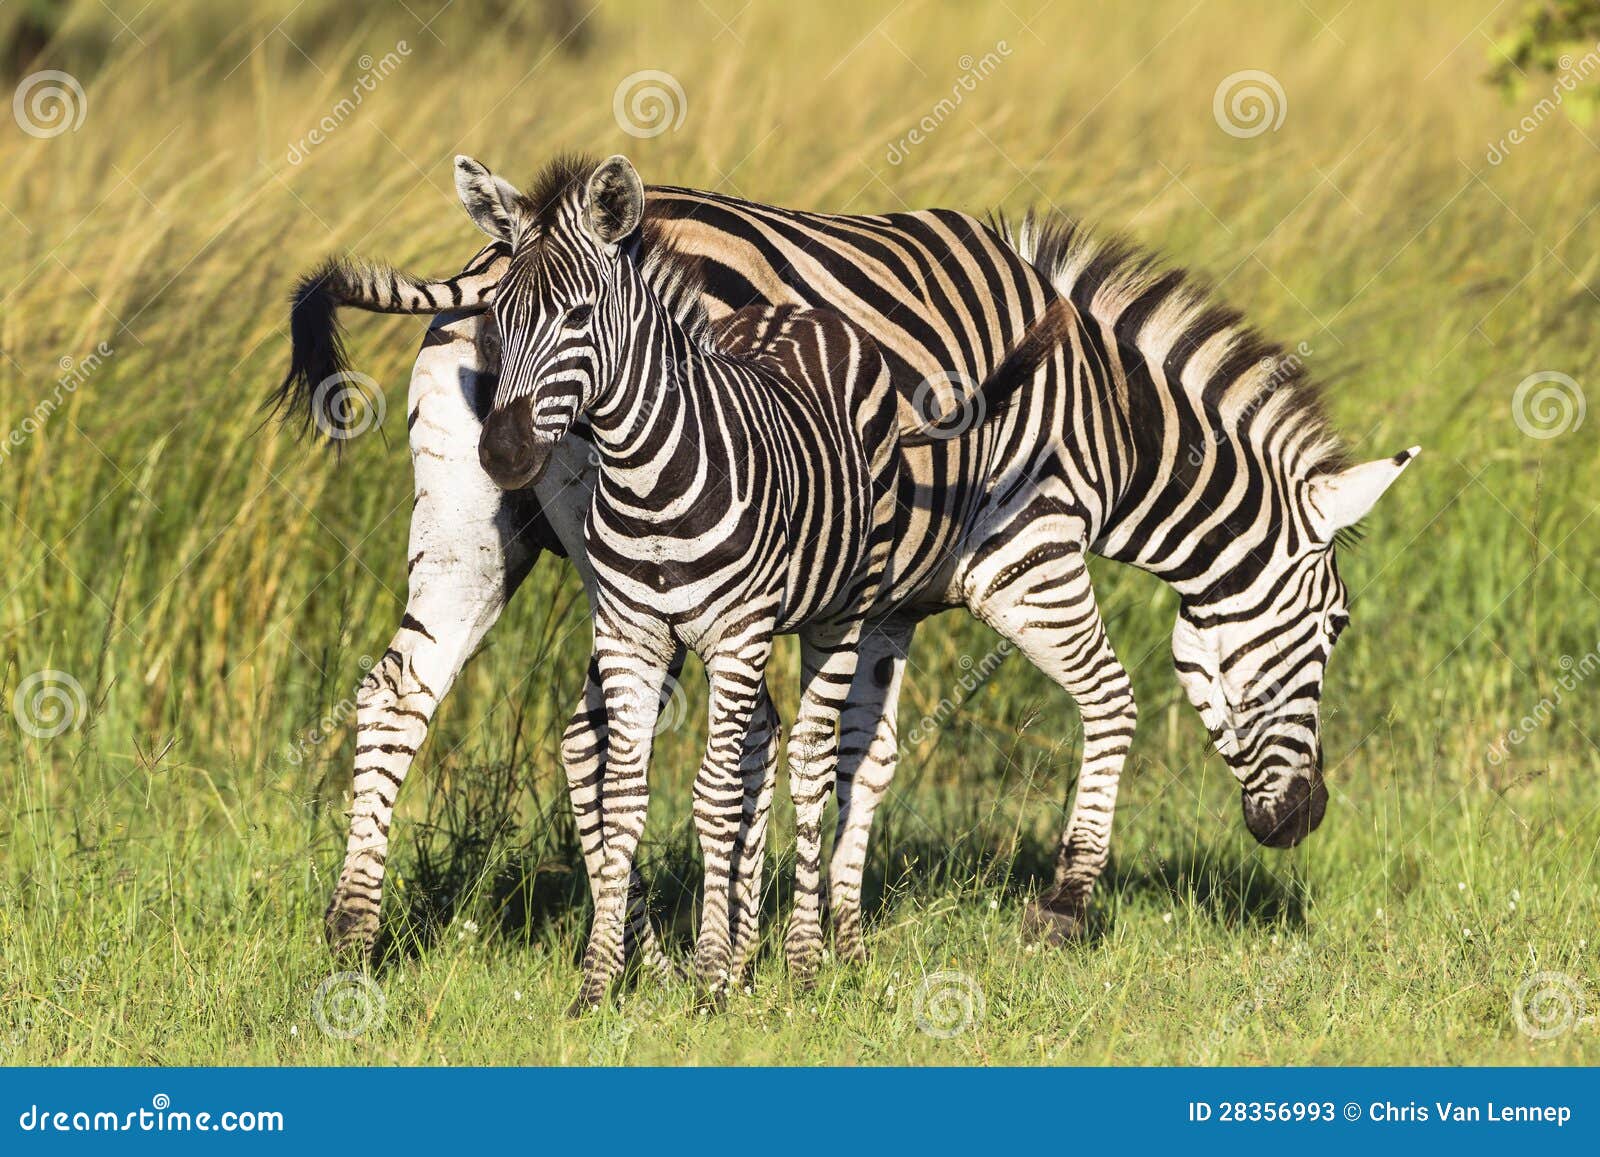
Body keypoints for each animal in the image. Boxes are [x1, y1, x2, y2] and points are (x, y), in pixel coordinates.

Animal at [275, 156, 1417, 974]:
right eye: (1333, 628)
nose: (1304, 819)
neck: (1102, 418)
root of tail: (487, 261)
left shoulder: (893, 601)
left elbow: (869, 753)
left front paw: (840, 938)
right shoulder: (1027, 552)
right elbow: (1111, 700)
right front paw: (1063, 905)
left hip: (470, 521)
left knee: (401, 692)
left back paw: (357, 931)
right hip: (641, 554)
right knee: (599, 736)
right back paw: (642, 952)